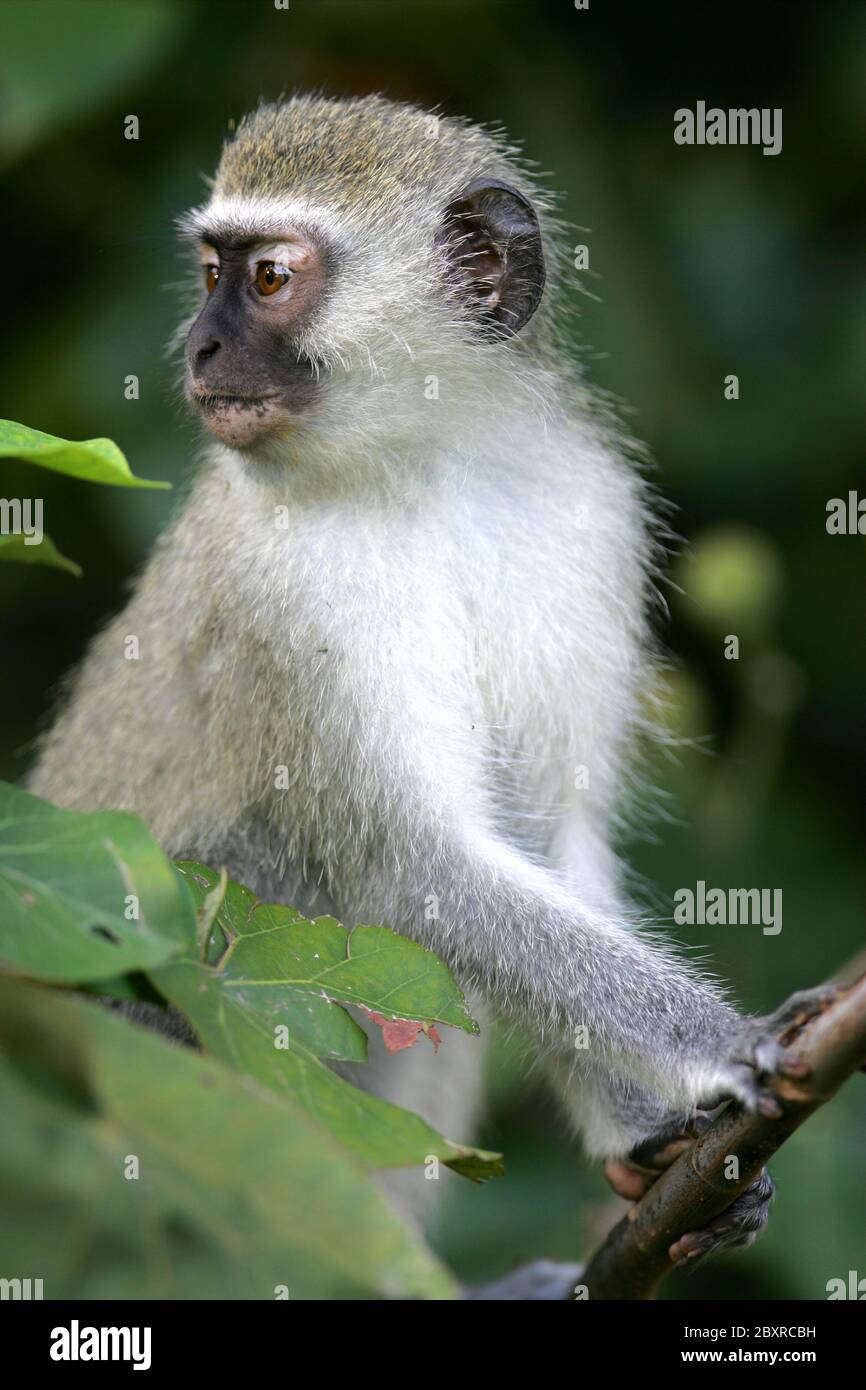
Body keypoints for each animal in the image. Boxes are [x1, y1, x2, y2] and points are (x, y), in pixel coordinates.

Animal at [29, 94, 821, 1295]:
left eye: (267, 277)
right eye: (209, 272)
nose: (197, 347)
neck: (423, 459)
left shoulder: (588, 513)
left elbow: (550, 836)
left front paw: (649, 1141)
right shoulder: (287, 589)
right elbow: (417, 867)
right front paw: (722, 1047)